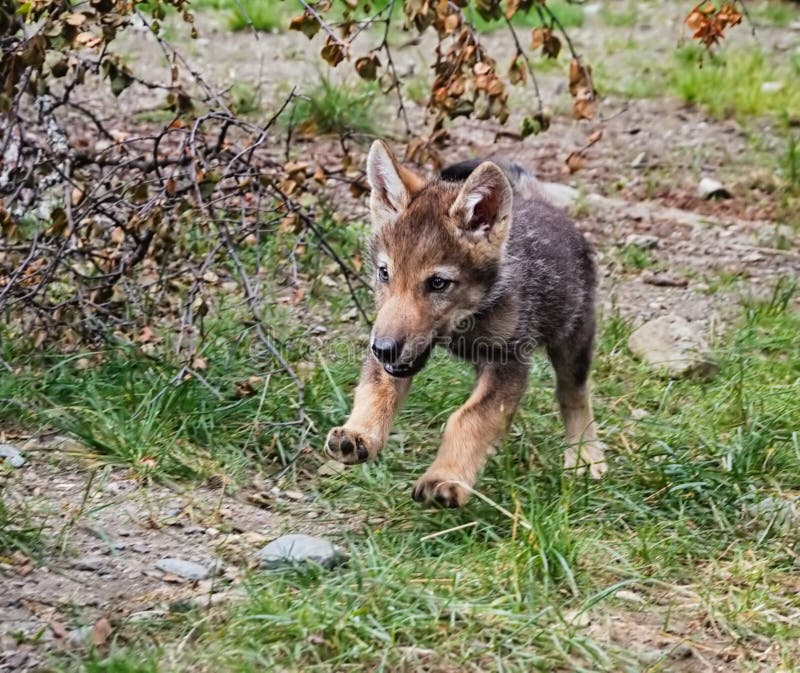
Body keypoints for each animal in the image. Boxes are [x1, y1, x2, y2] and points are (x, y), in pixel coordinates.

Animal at [325, 140, 606, 507]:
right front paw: (360, 433)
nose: (384, 350)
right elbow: (377, 389)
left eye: (438, 283)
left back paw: (585, 456)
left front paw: (445, 478)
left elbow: (469, 417)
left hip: (573, 337)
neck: (467, 323)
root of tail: (542, 203)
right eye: (384, 273)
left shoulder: (507, 362)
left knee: (573, 394)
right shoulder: (390, 345)